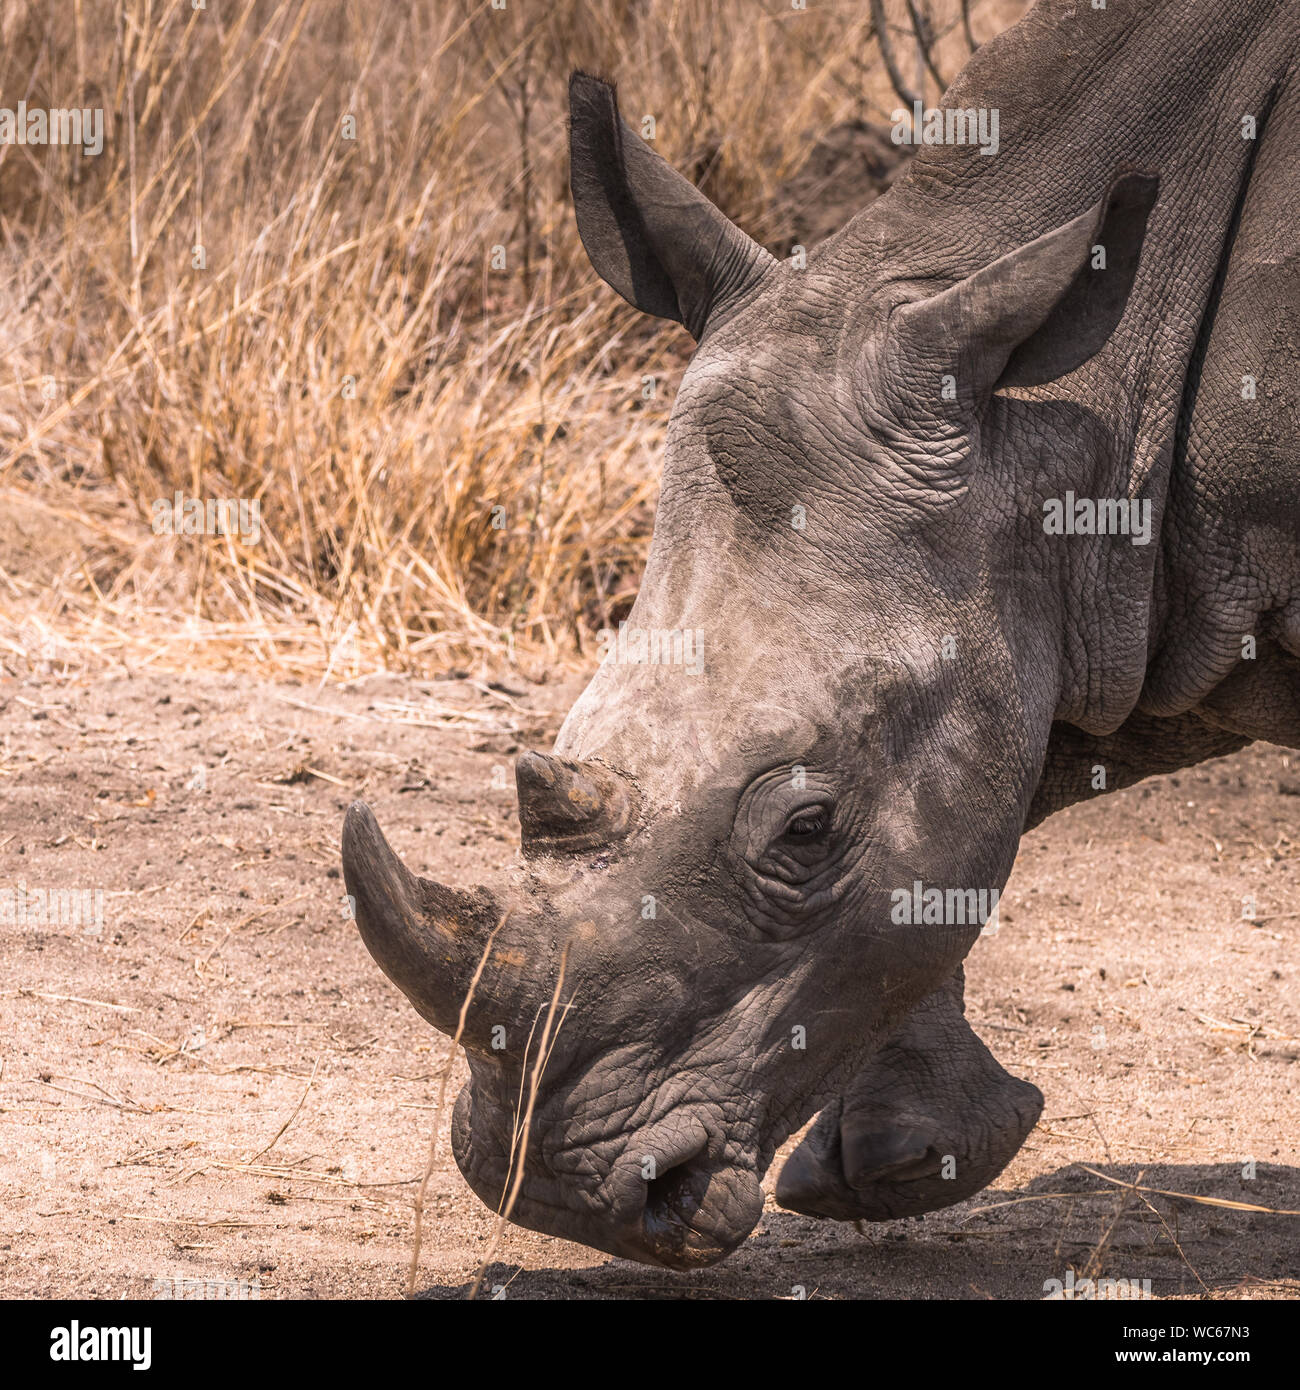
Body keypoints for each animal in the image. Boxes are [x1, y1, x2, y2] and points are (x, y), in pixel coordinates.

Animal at [342, 0, 1300, 1270]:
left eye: (805, 830)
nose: (555, 1193)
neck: (1096, 405)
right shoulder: (1115, 588)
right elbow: (962, 824)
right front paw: (896, 1167)